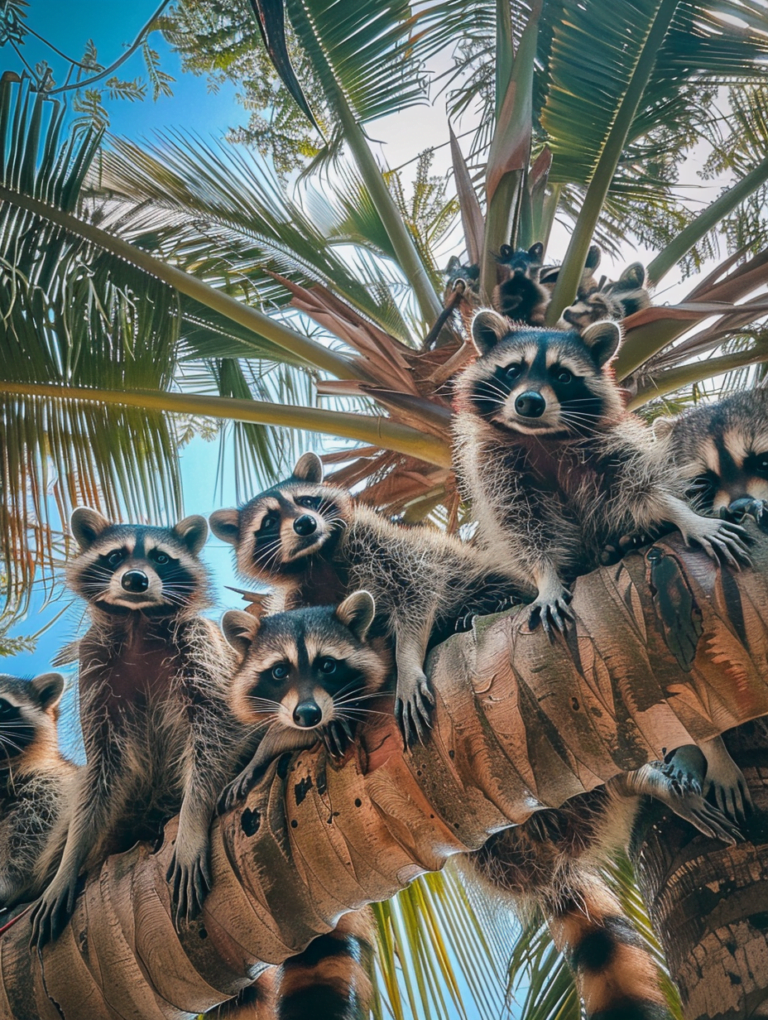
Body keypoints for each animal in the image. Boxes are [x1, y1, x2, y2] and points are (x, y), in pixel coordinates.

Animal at [31, 509, 242, 947]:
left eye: (160, 558)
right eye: (116, 556)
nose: (135, 580)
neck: (137, 621)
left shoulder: (198, 645)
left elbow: (215, 732)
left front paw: (192, 823)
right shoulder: (94, 663)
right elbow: (101, 768)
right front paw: (67, 865)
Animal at [210, 455, 531, 745]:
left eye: (307, 501)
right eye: (270, 520)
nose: (305, 523)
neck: (316, 559)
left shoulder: (376, 542)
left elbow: (417, 587)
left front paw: (407, 662)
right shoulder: (294, 597)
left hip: (479, 571)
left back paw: (490, 604)